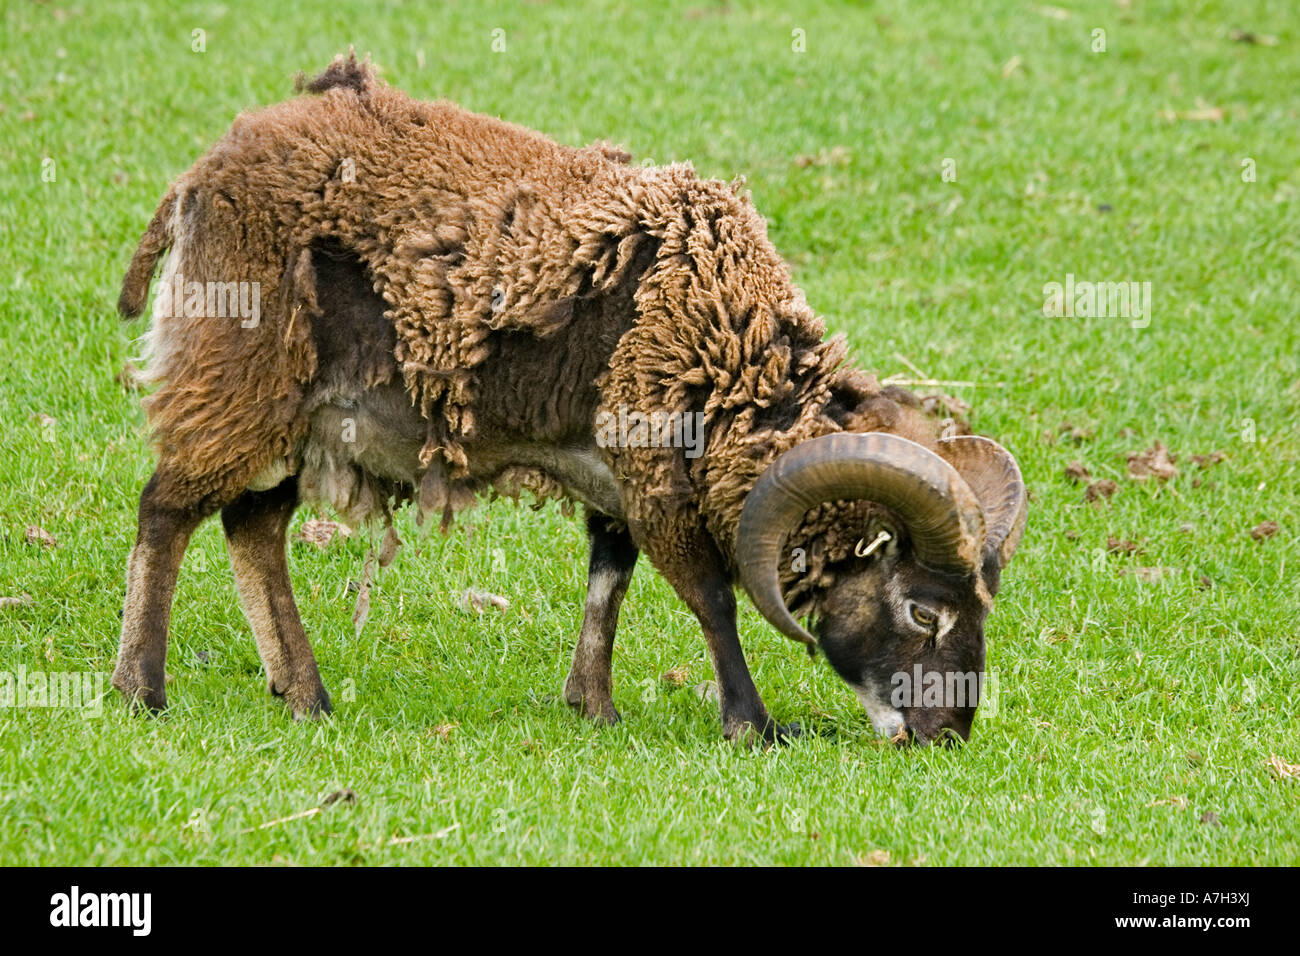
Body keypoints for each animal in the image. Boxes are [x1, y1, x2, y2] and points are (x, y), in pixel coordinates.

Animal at [113, 53, 1027, 745]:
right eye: (923, 611)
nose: (949, 736)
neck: (728, 346)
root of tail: (201, 177)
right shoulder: (655, 477)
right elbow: (712, 598)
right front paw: (754, 725)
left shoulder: (614, 481)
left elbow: (607, 583)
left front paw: (594, 706)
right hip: (236, 383)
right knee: (167, 510)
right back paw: (141, 690)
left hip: (301, 421)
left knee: (251, 526)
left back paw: (304, 695)